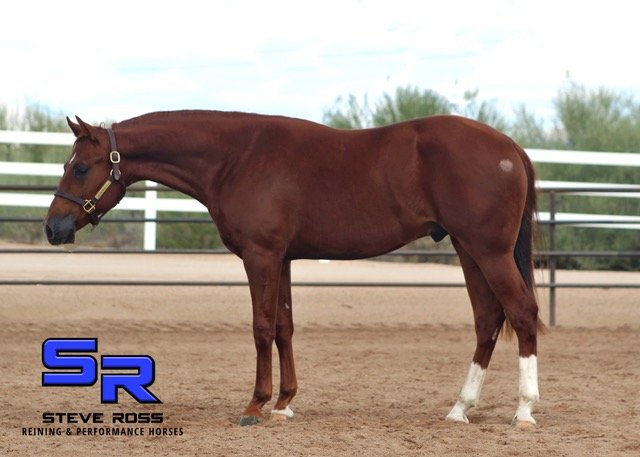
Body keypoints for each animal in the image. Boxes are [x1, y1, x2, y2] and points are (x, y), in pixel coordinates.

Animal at [44, 110, 542, 428]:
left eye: (81, 167)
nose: (53, 227)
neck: (237, 157)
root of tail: (510, 146)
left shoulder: (260, 256)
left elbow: (262, 326)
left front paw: (255, 405)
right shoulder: (281, 258)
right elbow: (284, 326)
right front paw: (284, 403)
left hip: (488, 250)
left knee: (521, 312)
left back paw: (523, 410)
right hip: (467, 249)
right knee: (487, 319)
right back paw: (461, 408)